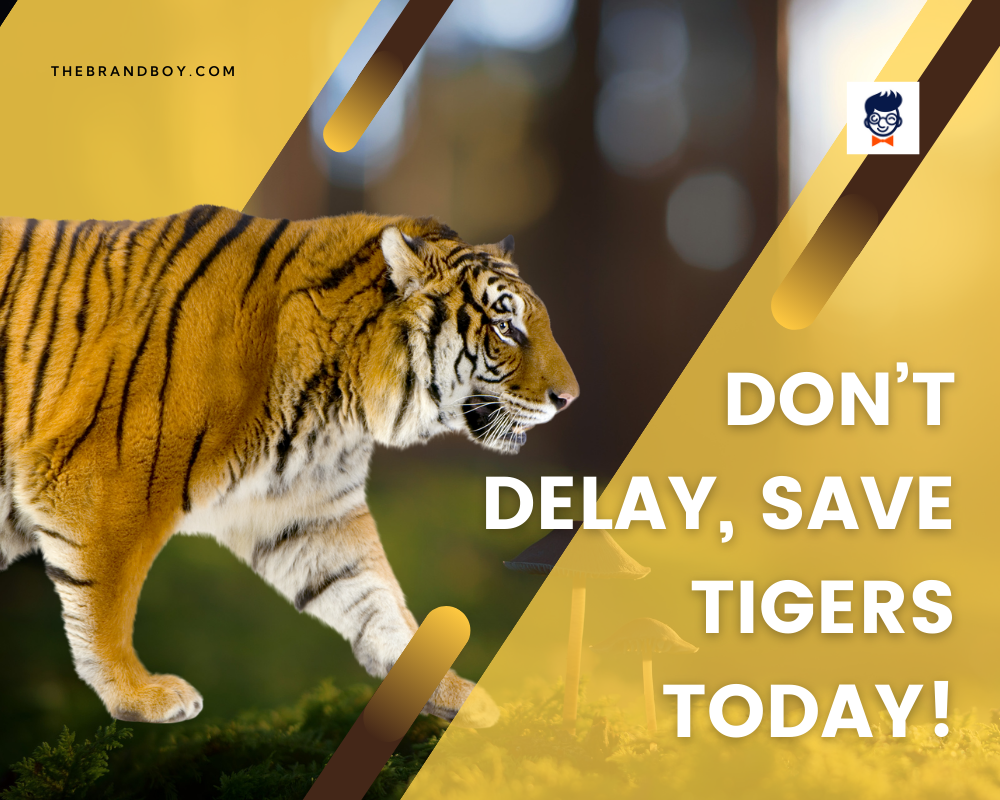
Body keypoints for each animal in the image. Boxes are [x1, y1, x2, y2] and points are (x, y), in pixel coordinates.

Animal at [0, 205, 578, 725]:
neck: (337, 405)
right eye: (505, 327)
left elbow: (375, 597)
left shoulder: (307, 510)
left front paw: (453, 693)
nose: (569, 398)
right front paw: (138, 696)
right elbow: (105, 600)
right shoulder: (103, 482)